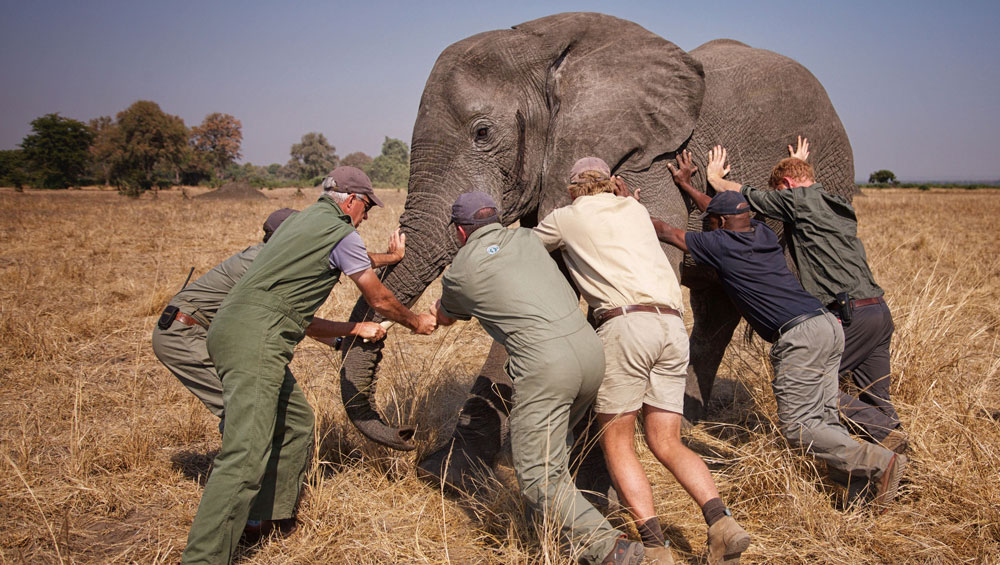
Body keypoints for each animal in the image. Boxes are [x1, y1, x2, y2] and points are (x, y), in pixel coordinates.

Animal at [338, 12, 855, 488]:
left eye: (482, 132)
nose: (405, 435)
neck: (544, 48)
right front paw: (451, 476)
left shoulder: (648, 164)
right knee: (715, 309)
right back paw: (684, 422)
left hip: (828, 176)